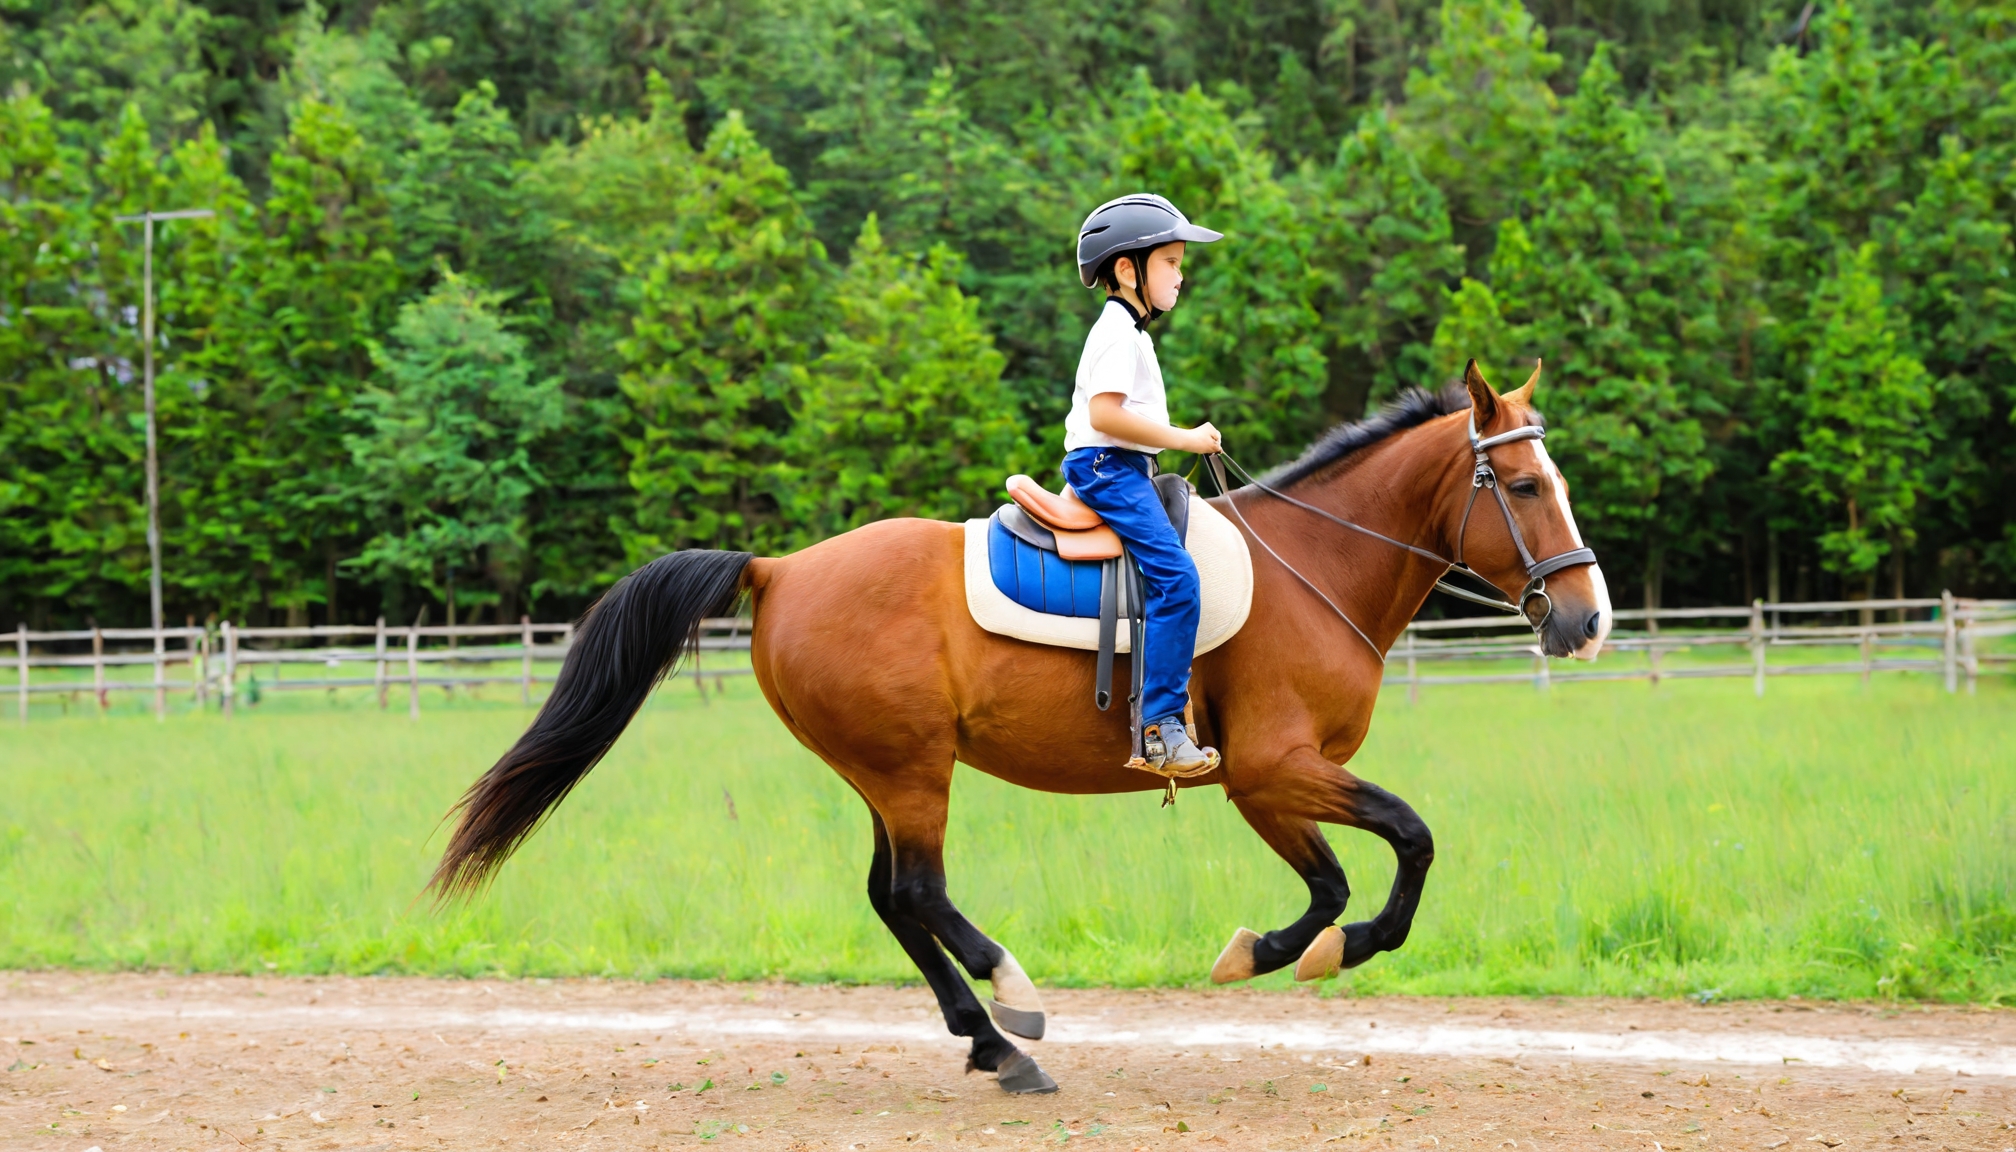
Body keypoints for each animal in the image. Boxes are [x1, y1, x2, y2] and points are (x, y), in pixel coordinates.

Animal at [427, 361, 1612, 1094]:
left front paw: (1286, 952)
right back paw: (1016, 1007)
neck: (1311, 568)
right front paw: (1310, 954)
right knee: (918, 893)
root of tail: (780, 568)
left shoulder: (1271, 782)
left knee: (892, 899)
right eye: (1519, 483)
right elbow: (1401, 845)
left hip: (885, 773)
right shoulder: (1272, 770)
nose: (1588, 619)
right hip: (912, 770)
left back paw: (990, 1044)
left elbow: (1347, 877)